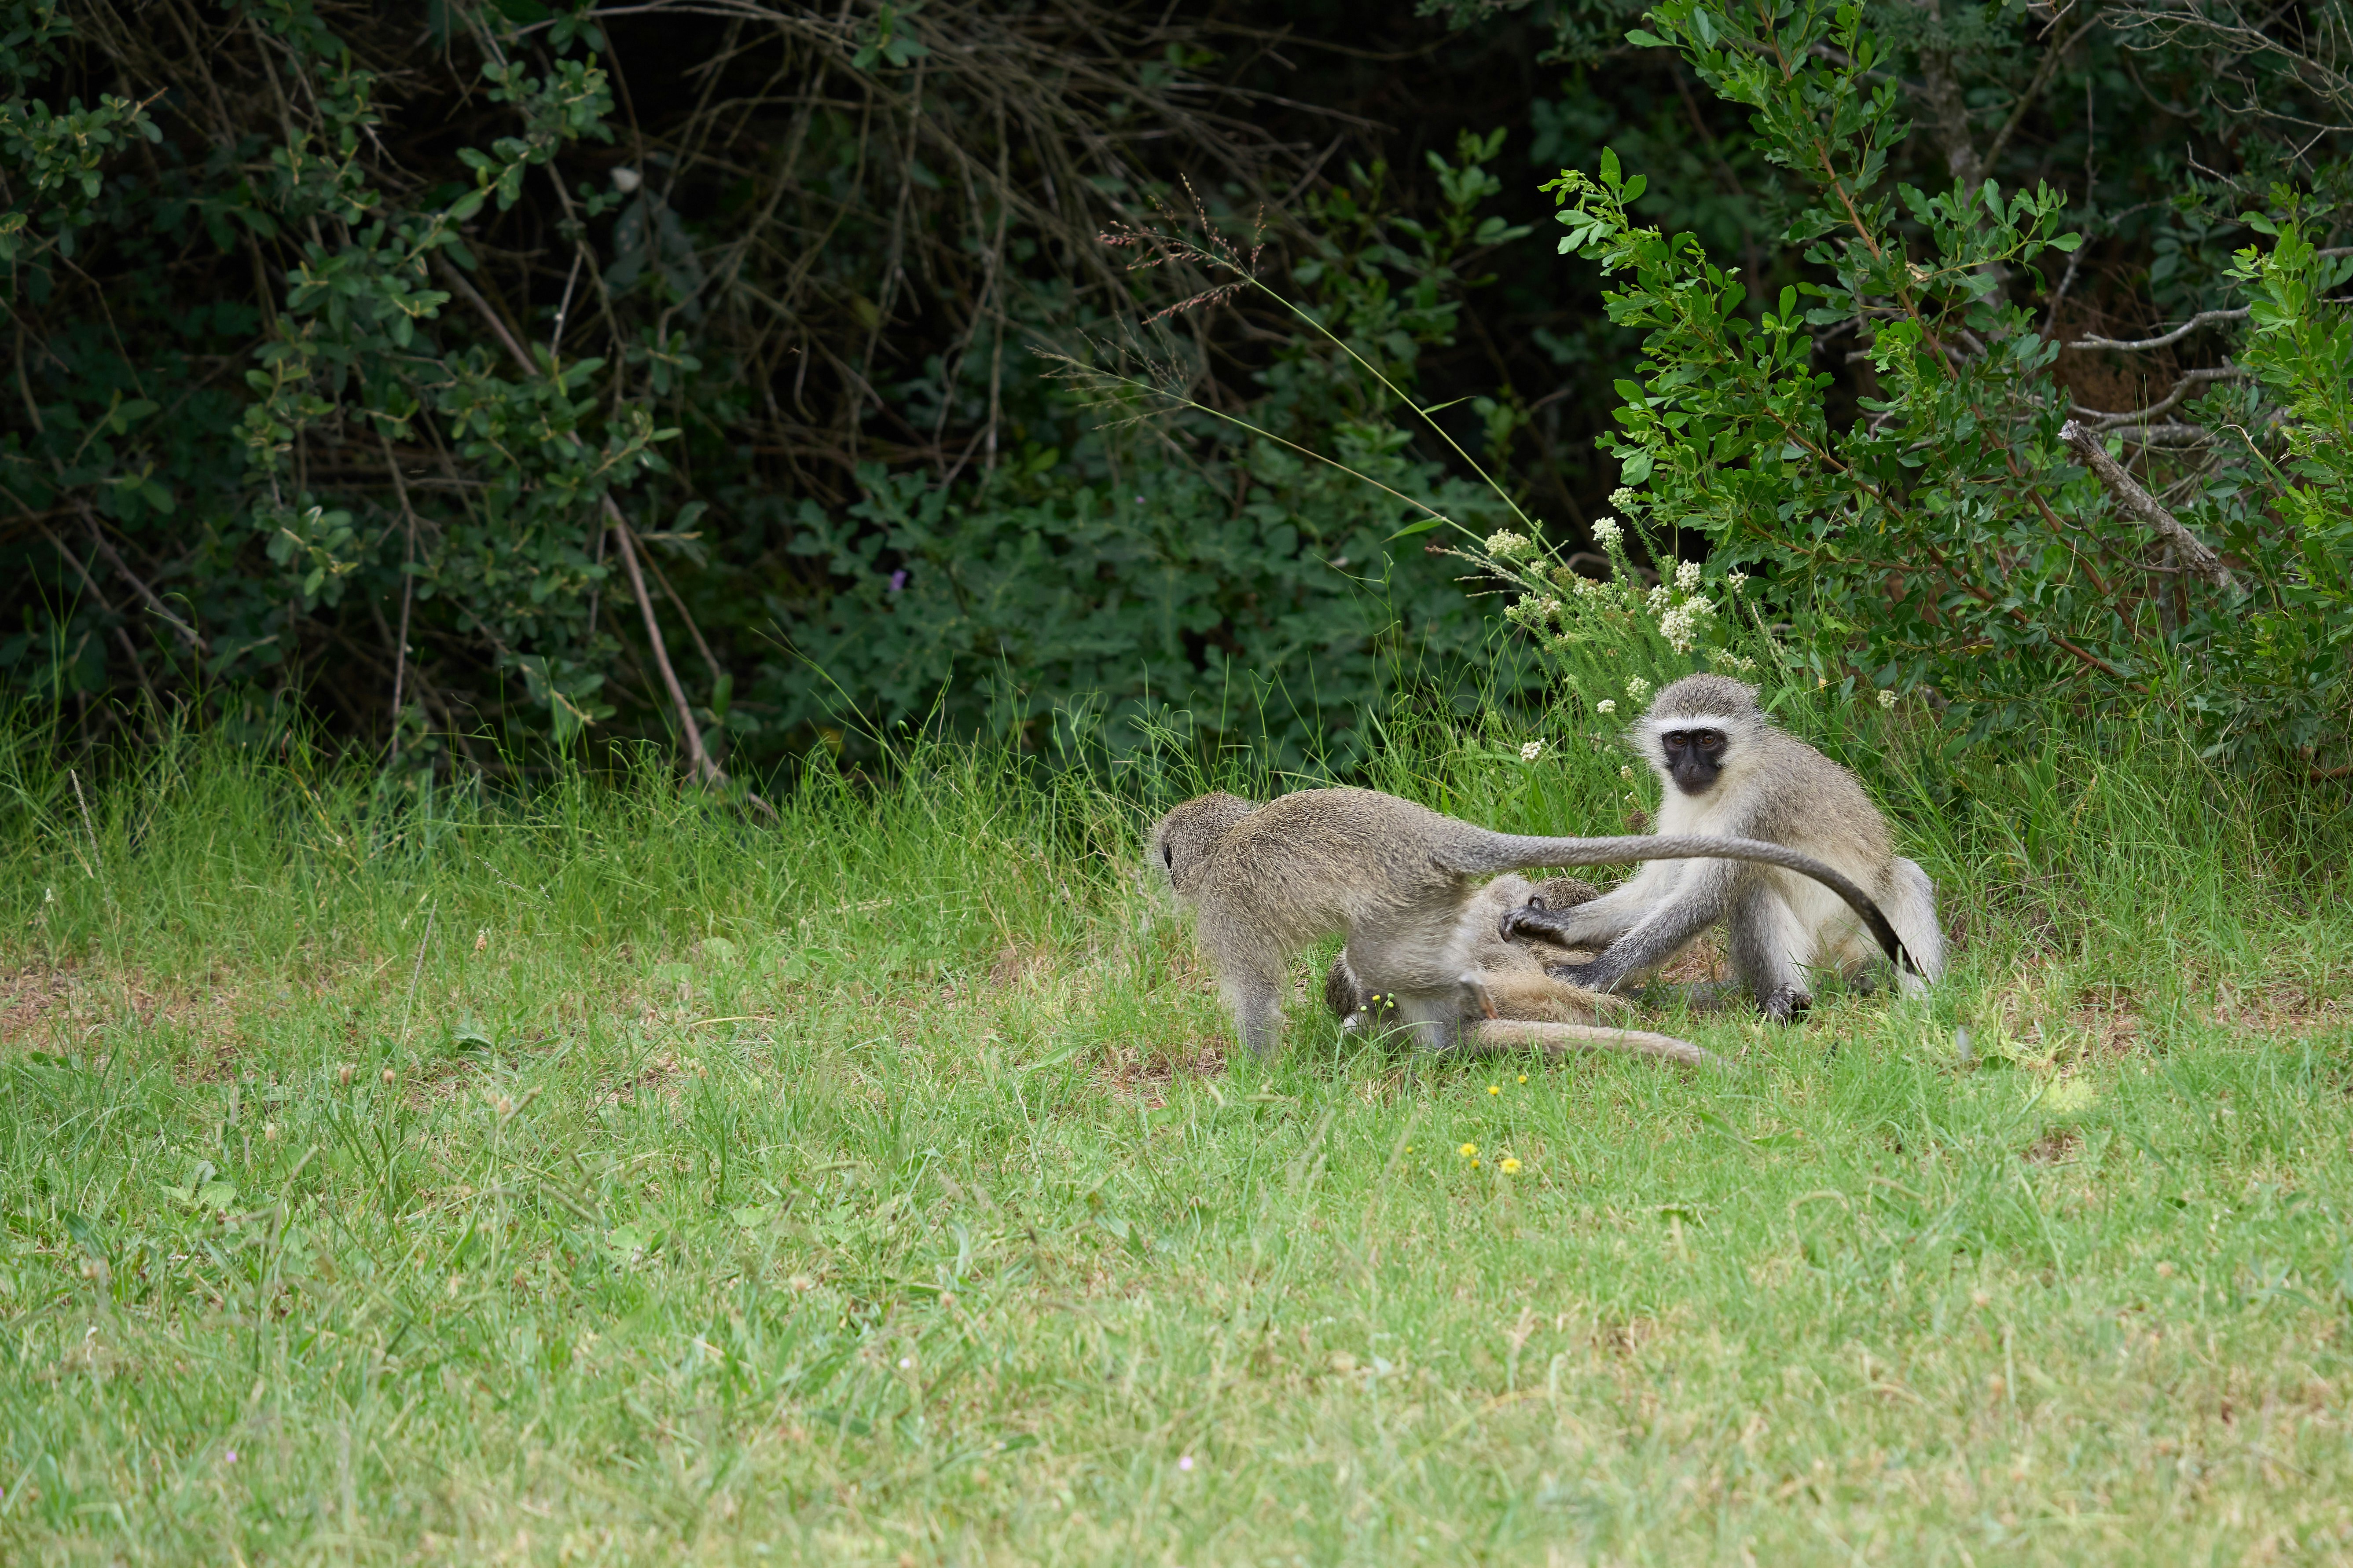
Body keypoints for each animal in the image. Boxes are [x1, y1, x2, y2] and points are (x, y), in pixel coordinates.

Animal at [1147, 786, 1917, 1057]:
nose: (1153, 876)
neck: (1227, 839)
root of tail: (1434, 832)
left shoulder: (1223, 909)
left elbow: (1254, 996)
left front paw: (1255, 1076)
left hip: (1405, 899)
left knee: (1376, 962)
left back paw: (1452, 1013)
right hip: (1436, 900)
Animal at [1498, 673, 1946, 1023]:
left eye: (1709, 739)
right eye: (1679, 740)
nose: (1690, 768)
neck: (1730, 779)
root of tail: (1836, 971)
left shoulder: (1756, 802)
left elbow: (1704, 895)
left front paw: (1593, 974)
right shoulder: (1677, 802)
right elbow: (1661, 887)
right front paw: (1554, 923)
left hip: (1862, 939)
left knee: (1897, 877)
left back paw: (1916, 1006)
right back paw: (1785, 999)